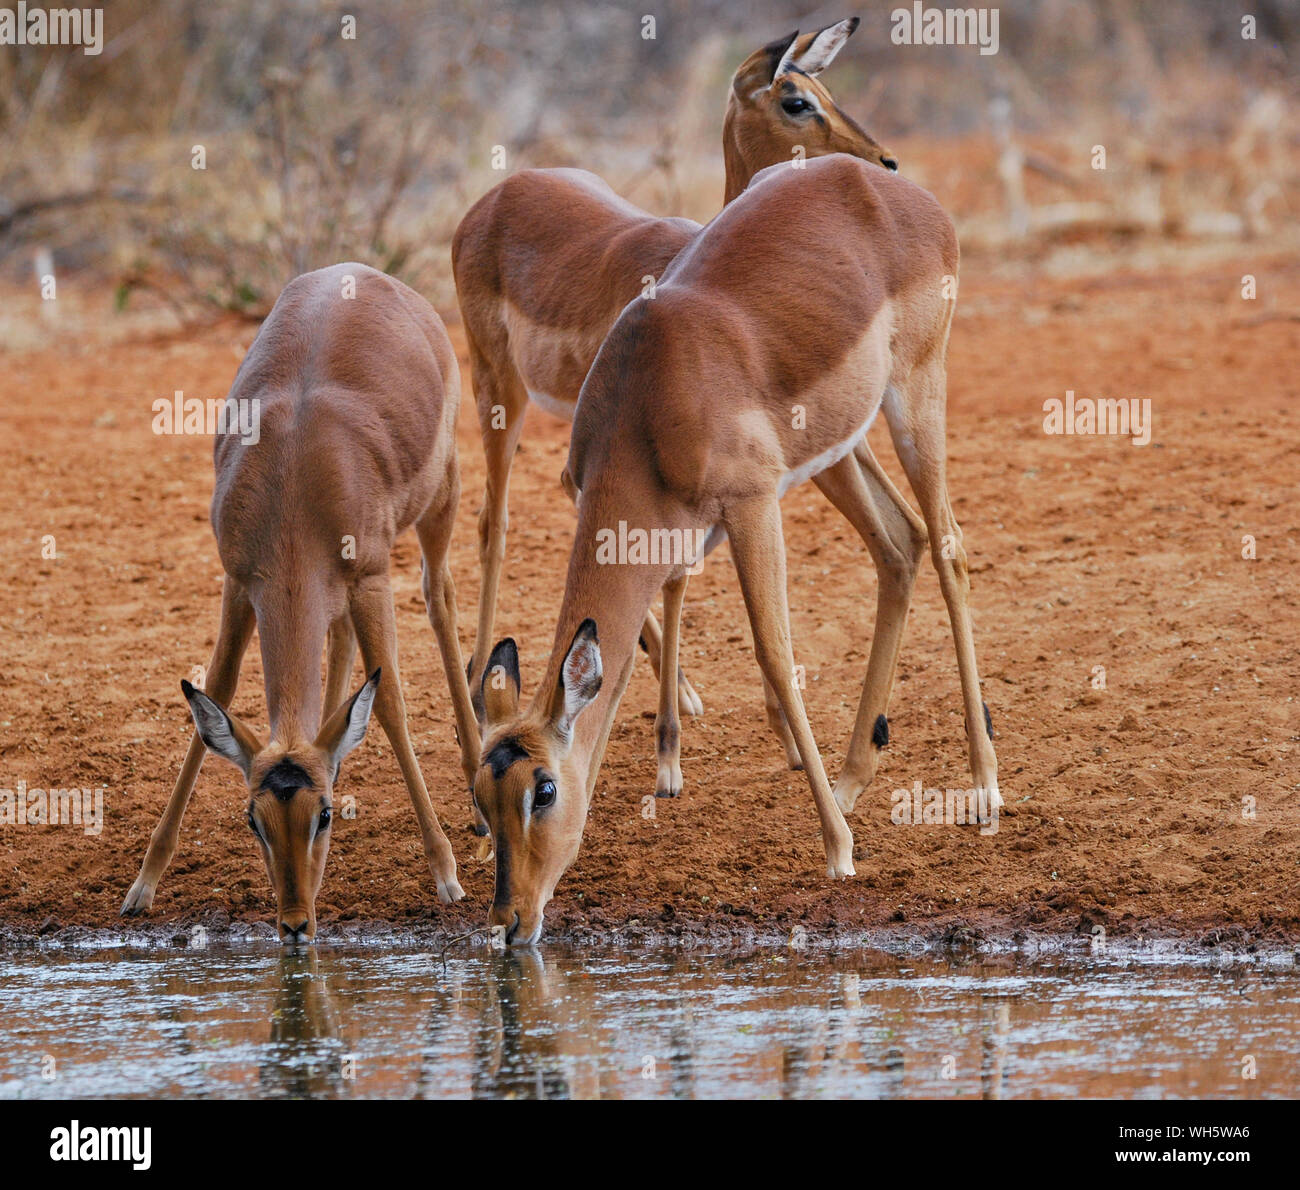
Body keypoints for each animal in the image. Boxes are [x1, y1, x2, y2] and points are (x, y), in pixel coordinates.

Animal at [120, 262, 479, 943]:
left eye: (325, 816)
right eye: (252, 819)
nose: (294, 925)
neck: (297, 485)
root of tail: (362, 273)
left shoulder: (370, 577)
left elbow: (389, 702)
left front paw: (446, 874)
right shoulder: (240, 581)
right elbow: (218, 691)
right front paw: (142, 884)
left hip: (440, 503)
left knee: (440, 597)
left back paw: (478, 795)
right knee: (338, 644)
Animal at [452, 19, 896, 798]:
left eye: (824, 89)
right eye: (794, 100)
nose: (882, 162)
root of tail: (499, 193)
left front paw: (768, 735)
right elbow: (673, 577)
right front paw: (672, 751)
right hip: (497, 392)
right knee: (492, 521)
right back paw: (484, 690)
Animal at [471, 152, 1001, 946]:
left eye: (544, 789)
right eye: (481, 796)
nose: (511, 920)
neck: (652, 400)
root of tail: (888, 184)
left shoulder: (752, 506)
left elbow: (776, 654)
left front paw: (839, 850)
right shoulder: (671, 536)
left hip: (914, 395)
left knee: (948, 549)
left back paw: (983, 787)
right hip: (835, 452)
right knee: (900, 544)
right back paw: (851, 779)